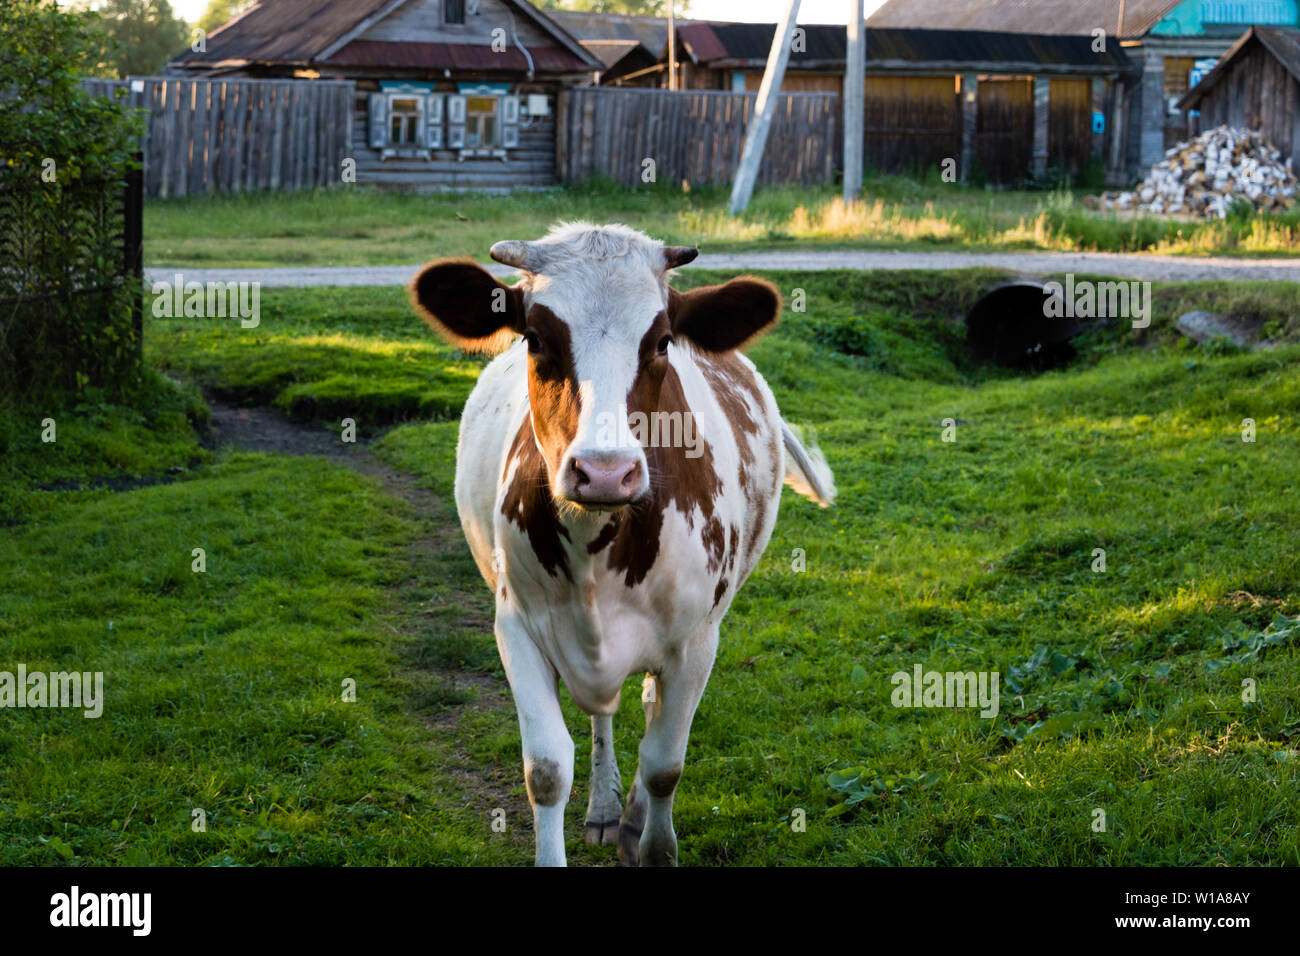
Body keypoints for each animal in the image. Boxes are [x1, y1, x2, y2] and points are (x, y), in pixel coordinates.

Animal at [410, 222, 835, 866]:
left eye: (661, 342)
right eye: (535, 338)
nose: (605, 472)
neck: (597, 547)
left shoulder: (696, 641)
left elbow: (663, 764)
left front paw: (653, 842)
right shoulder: (517, 626)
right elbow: (546, 770)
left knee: (650, 710)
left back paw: (631, 816)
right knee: (603, 715)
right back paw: (608, 809)